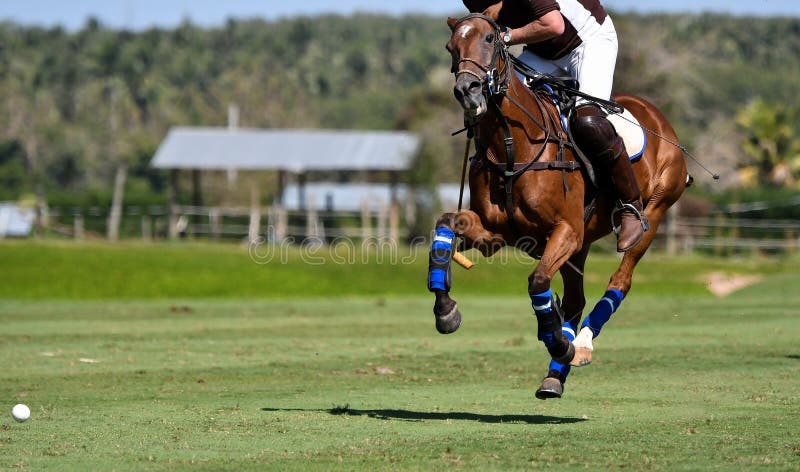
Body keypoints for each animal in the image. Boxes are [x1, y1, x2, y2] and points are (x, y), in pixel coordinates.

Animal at [427, 13, 689, 399]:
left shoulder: (565, 230)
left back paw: (579, 345)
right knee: (576, 299)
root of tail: (659, 119)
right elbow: (445, 223)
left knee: (620, 279)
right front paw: (446, 311)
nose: (467, 90)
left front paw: (557, 340)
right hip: (581, 244)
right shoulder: (496, 234)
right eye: (451, 47)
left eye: (490, 38)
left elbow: (538, 281)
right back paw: (555, 374)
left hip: (653, 213)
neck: (512, 145)